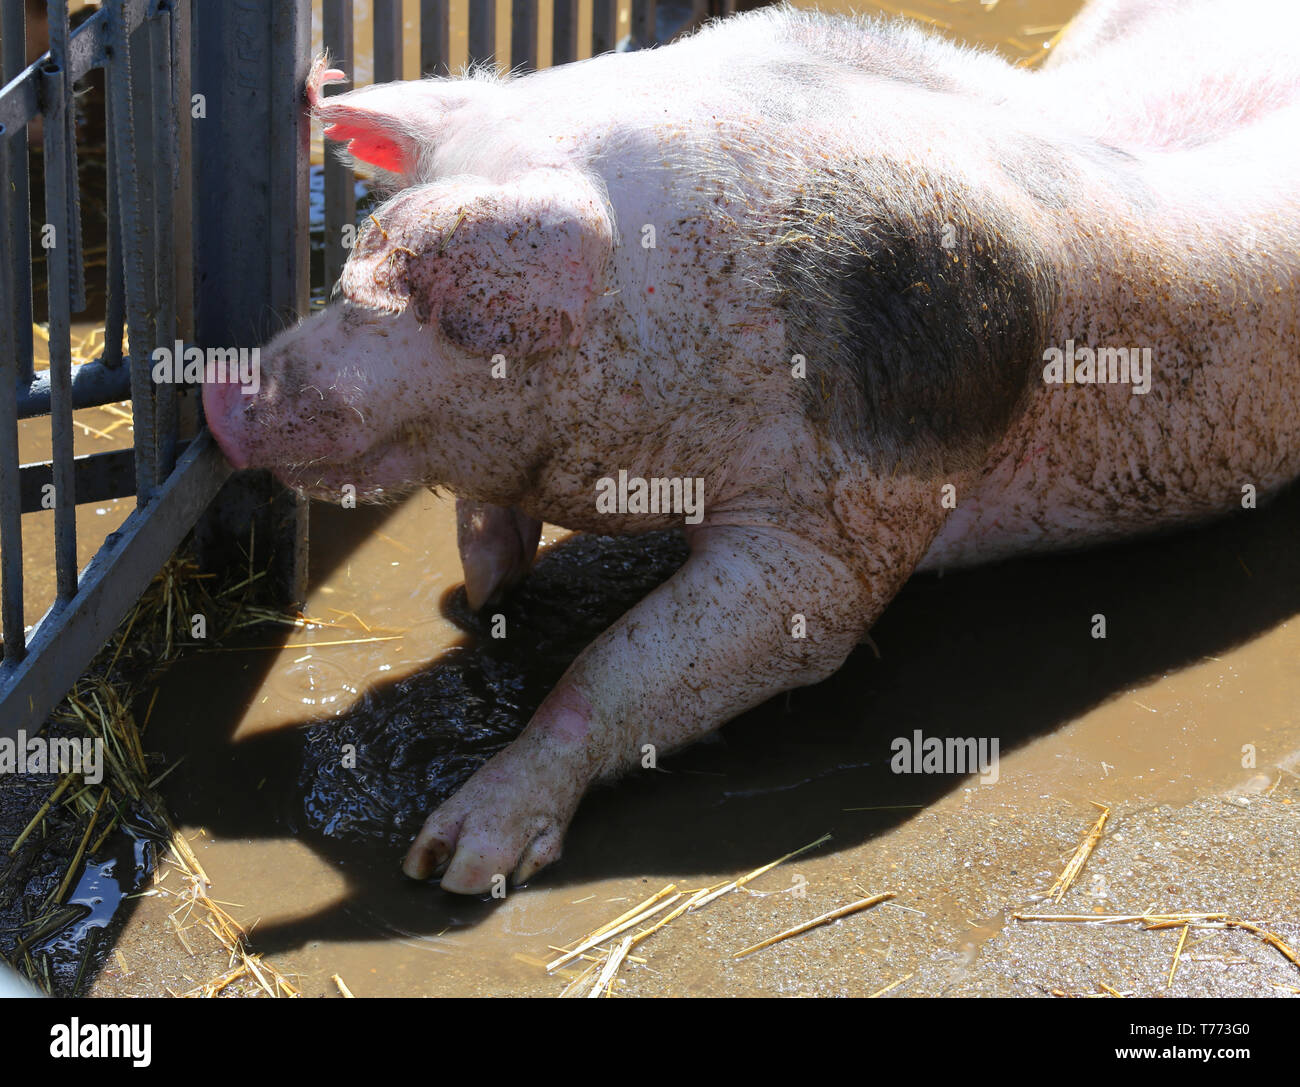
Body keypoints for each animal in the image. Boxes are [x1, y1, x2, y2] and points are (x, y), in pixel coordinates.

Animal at [203, 0, 1300, 893]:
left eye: (415, 291)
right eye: (352, 262)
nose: (219, 384)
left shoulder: (829, 539)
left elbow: (624, 664)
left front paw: (451, 861)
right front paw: (481, 591)